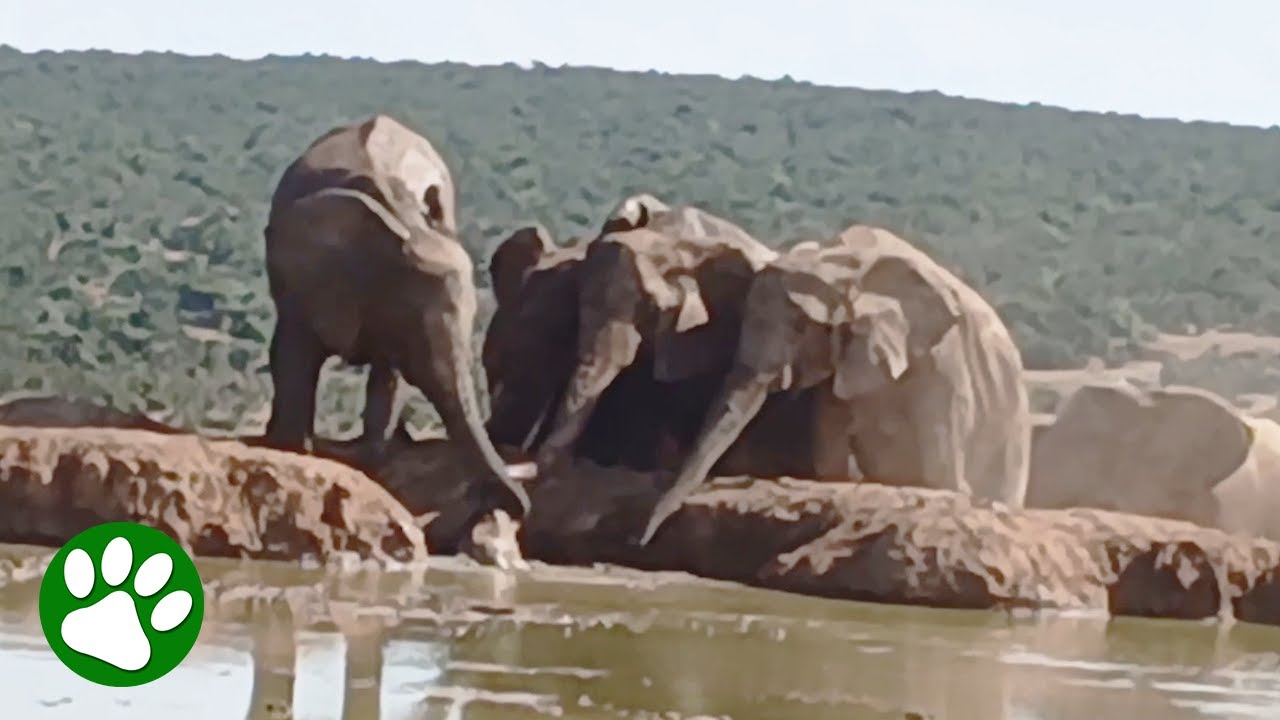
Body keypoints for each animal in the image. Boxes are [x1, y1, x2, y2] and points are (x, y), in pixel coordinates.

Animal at [262, 115, 531, 517]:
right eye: (416, 329)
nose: (514, 509)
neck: (399, 220)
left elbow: (389, 376)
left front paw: (368, 459)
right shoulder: (308, 286)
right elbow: (297, 355)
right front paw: (295, 451)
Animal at [639, 224, 1032, 545]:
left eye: (801, 327)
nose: (640, 541)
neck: (842, 264)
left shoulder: (941, 362)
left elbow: (941, 471)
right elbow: (831, 453)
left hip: (1013, 426)